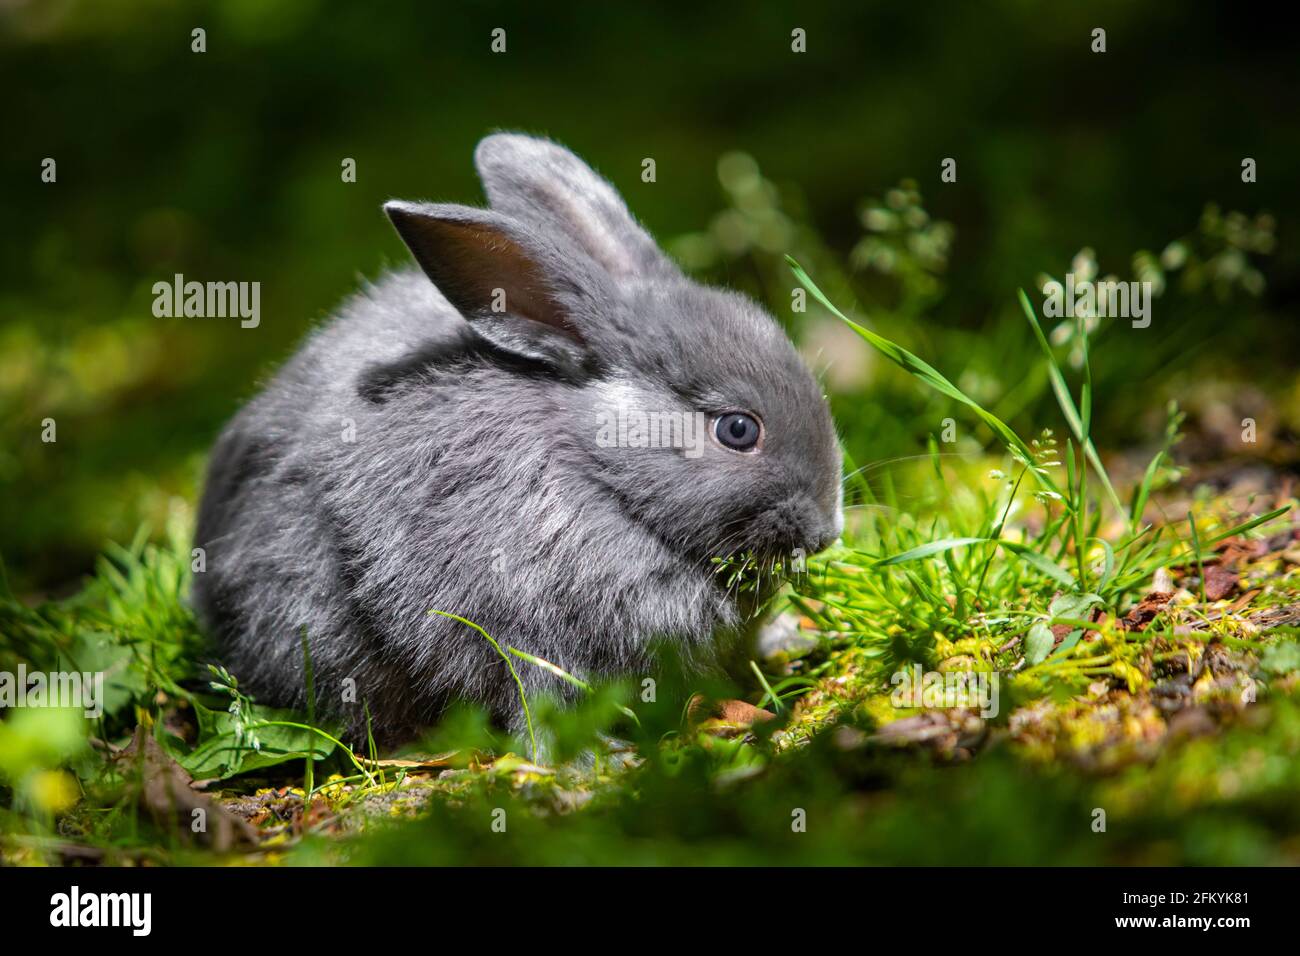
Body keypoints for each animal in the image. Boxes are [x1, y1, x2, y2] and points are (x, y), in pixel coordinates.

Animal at [191, 132, 843, 751]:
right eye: (737, 429)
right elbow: (531, 697)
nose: (825, 532)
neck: (597, 470)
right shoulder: (502, 621)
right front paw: (594, 760)